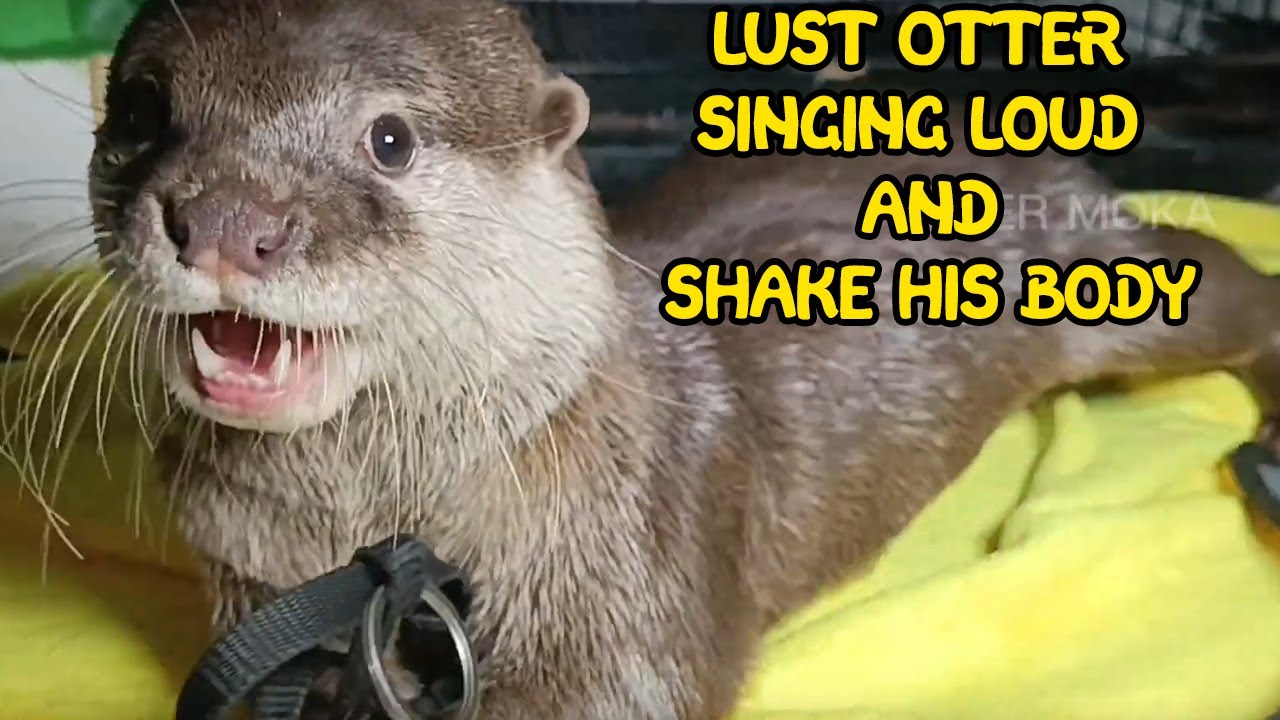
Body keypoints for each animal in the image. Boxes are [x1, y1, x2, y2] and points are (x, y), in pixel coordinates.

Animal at [83, 0, 1280, 718]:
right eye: (142, 109)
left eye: (389, 139)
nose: (228, 219)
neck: (371, 518)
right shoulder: (242, 565)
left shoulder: (626, 537)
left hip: (1109, 284)